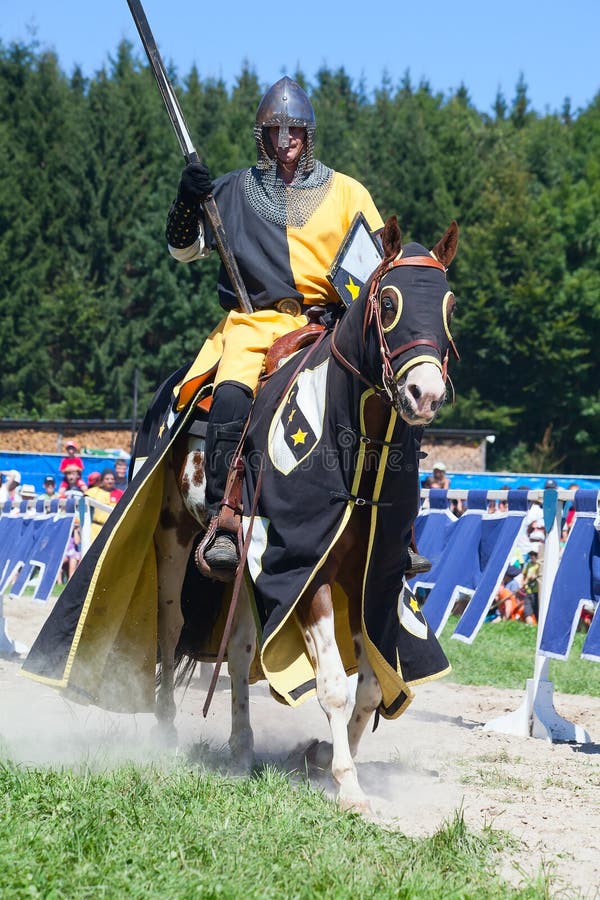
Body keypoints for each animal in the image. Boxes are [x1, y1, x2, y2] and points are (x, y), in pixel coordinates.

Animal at [151, 216, 459, 811]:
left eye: (448, 305)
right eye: (389, 302)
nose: (425, 393)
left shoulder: (372, 578)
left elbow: (371, 685)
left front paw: (323, 757)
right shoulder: (304, 569)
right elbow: (334, 686)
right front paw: (348, 785)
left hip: (246, 570)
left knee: (241, 647)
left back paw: (242, 750)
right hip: (176, 537)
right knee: (171, 626)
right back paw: (166, 732)